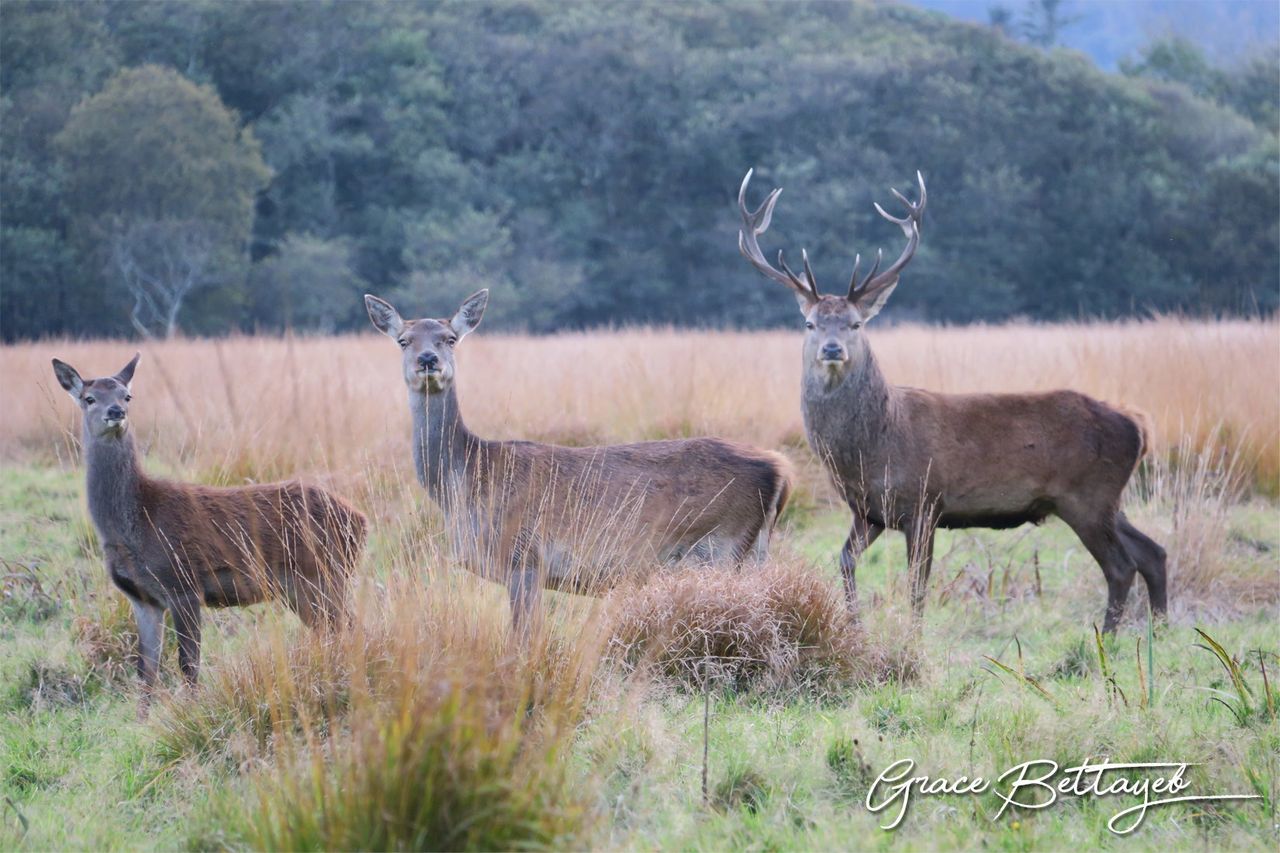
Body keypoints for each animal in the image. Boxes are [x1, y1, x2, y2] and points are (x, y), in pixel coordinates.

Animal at [52, 353, 367, 711]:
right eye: (89, 398)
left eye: (127, 396)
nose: (116, 412)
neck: (134, 526)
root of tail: (360, 521)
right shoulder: (143, 599)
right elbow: (145, 670)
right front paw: (141, 719)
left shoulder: (184, 585)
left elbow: (188, 664)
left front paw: (190, 712)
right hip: (304, 587)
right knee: (334, 632)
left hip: (324, 574)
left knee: (349, 628)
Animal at [364, 290, 792, 633]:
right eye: (403, 340)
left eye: (450, 338)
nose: (427, 359)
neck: (467, 481)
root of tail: (780, 470)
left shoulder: (524, 557)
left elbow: (521, 640)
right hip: (752, 552)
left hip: (719, 545)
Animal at [736, 169, 1167, 633]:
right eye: (810, 323)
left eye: (855, 323)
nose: (832, 349)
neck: (871, 449)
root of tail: (1139, 425)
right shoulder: (868, 512)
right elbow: (845, 560)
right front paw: (854, 625)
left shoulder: (925, 502)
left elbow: (916, 584)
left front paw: (913, 636)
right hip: (1108, 499)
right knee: (1153, 552)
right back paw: (1160, 628)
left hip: (1087, 495)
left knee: (1121, 565)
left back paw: (1108, 636)